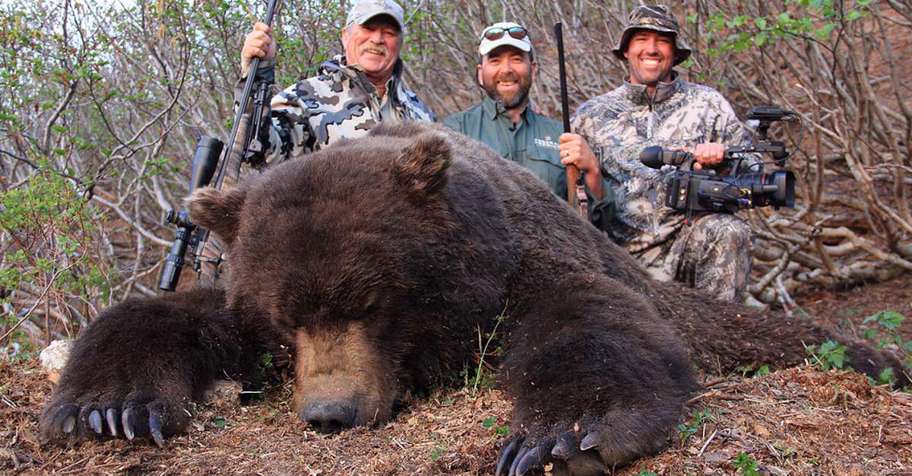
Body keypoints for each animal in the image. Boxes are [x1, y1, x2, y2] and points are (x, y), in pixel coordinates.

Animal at [40, 123, 908, 475]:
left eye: (370, 301)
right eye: (287, 317)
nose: (329, 415)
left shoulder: (525, 273)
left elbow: (592, 327)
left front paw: (558, 436)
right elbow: (170, 315)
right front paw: (108, 408)